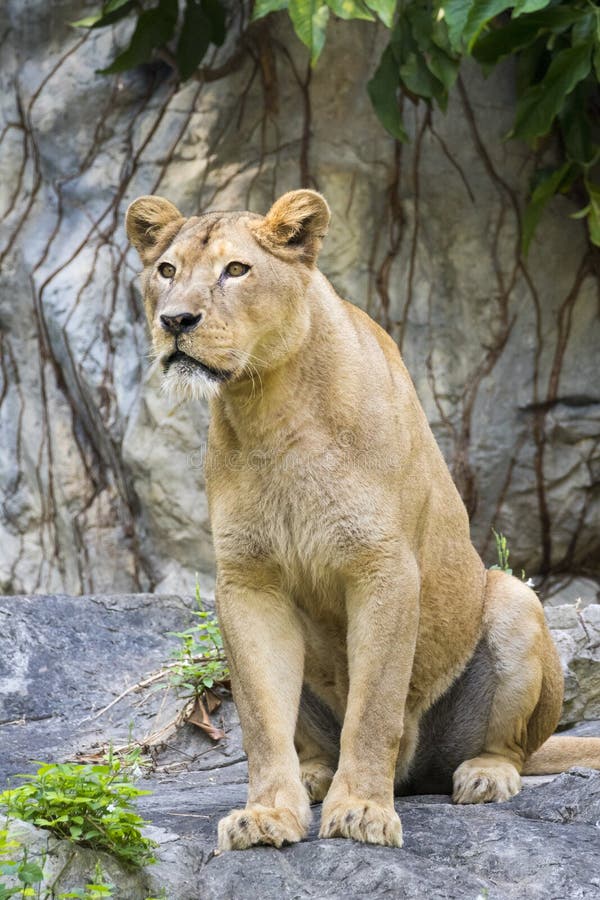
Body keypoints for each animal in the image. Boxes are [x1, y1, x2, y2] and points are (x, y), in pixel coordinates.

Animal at [126, 188, 600, 851]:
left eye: (236, 270)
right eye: (166, 271)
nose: (175, 322)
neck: (268, 407)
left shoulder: (384, 567)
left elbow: (374, 707)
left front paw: (363, 811)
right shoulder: (248, 581)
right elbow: (261, 719)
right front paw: (267, 813)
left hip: (512, 599)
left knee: (513, 746)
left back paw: (482, 775)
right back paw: (315, 777)